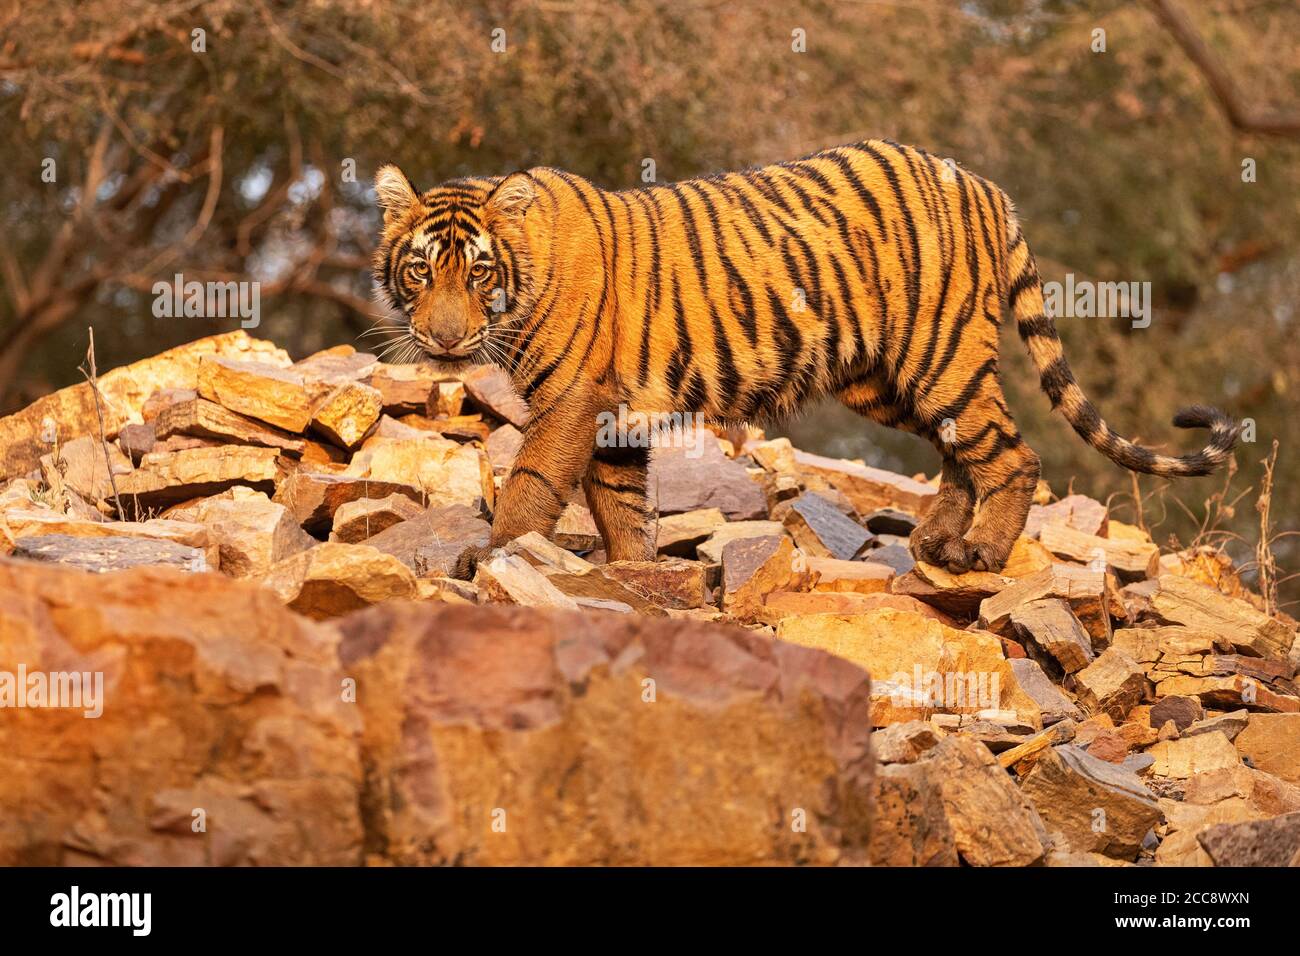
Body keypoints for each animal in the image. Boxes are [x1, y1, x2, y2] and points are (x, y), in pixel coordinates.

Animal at [371, 140, 1239, 580]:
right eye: (420, 272)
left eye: (478, 275)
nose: (443, 340)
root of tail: (982, 183)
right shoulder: (616, 415)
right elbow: (617, 502)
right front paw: (632, 570)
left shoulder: (572, 400)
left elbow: (534, 482)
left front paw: (493, 554)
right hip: (882, 380)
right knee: (961, 455)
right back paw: (936, 542)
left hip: (941, 353)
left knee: (1010, 453)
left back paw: (979, 553)